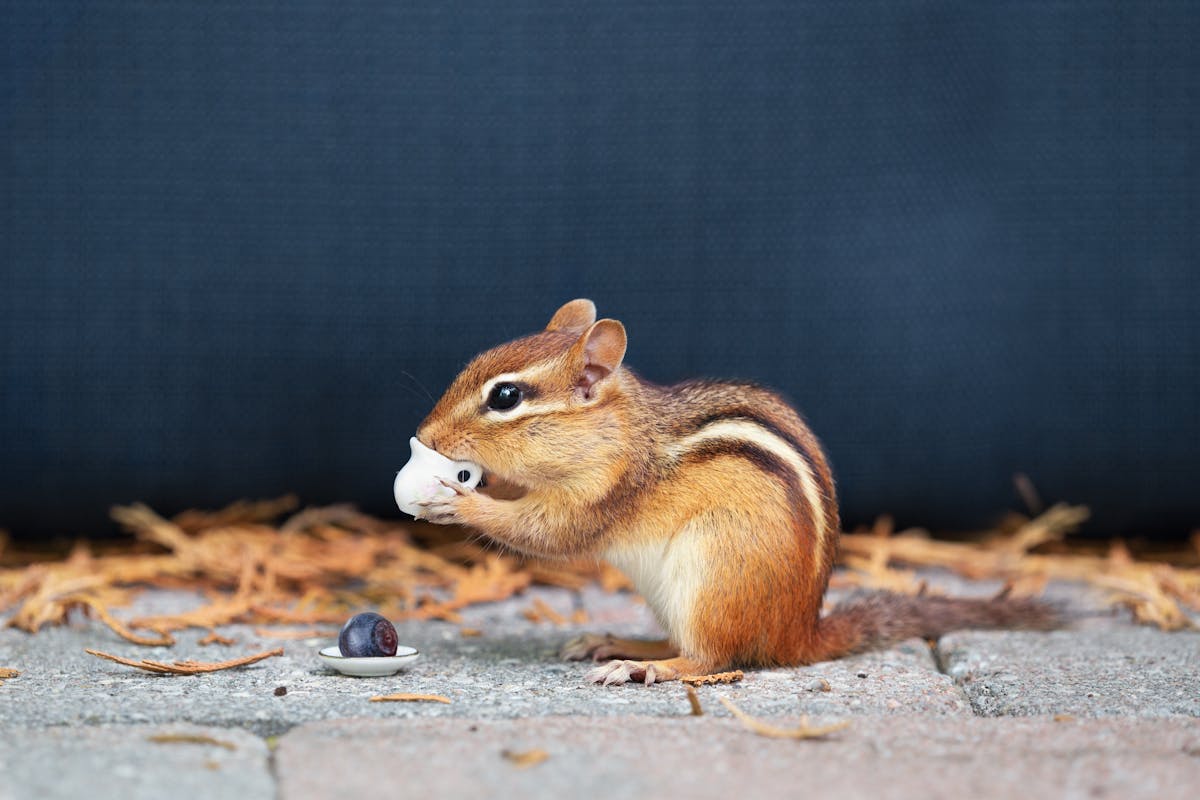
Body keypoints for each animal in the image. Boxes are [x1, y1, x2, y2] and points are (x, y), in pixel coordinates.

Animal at [414, 299, 1060, 685]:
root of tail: (799, 635)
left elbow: (548, 533)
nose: (425, 436)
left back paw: (644, 669)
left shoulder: (605, 493)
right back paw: (617, 642)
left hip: (713, 569)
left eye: (505, 397)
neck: (622, 431)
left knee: (711, 658)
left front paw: (459, 500)